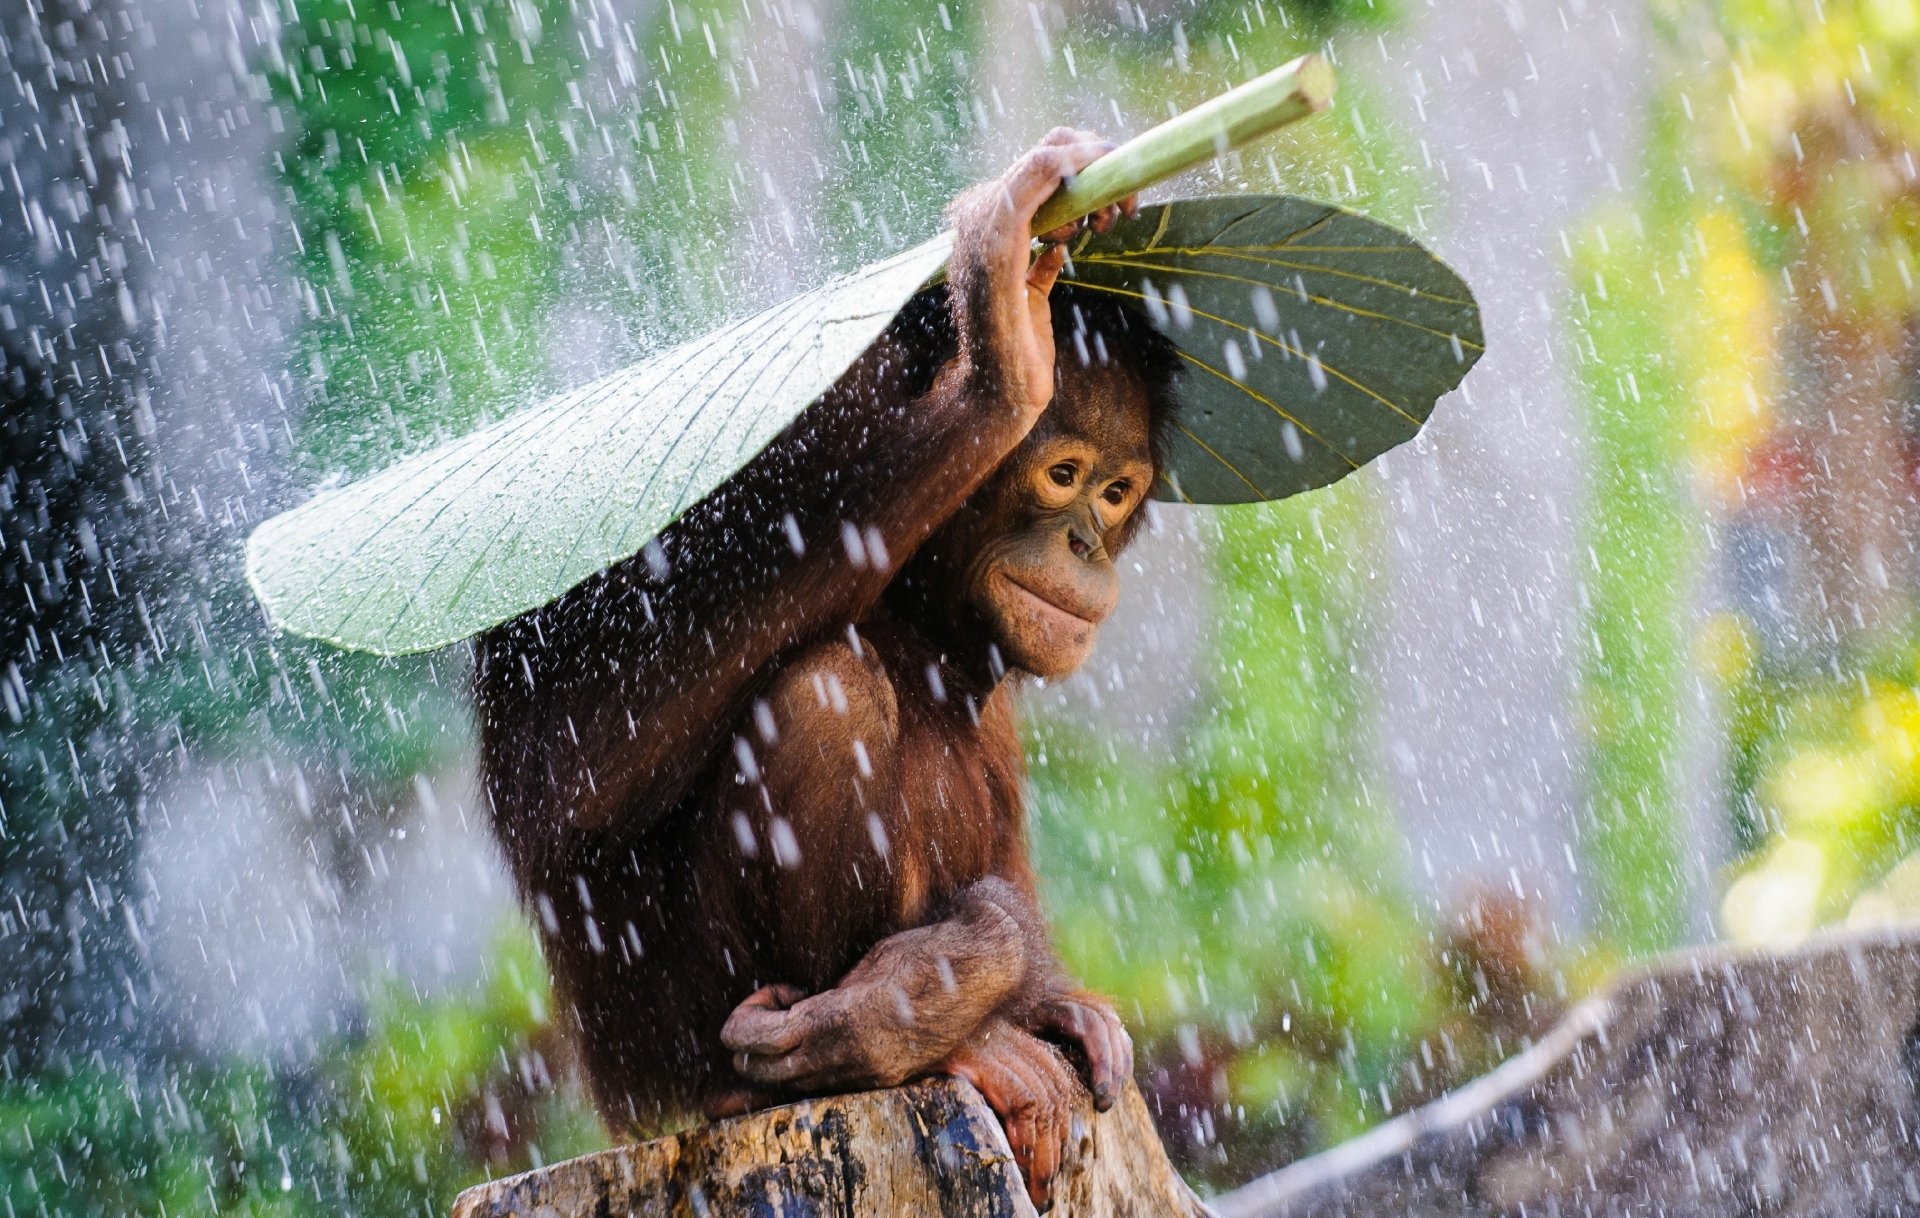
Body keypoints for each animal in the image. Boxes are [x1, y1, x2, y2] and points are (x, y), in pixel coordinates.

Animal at [475, 129, 1184, 1208]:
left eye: (1116, 490)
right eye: (1062, 474)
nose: (1085, 543)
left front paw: (1039, 995)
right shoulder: (786, 432)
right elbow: (562, 766)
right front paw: (999, 353)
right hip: (684, 1044)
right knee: (821, 690)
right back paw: (903, 1045)